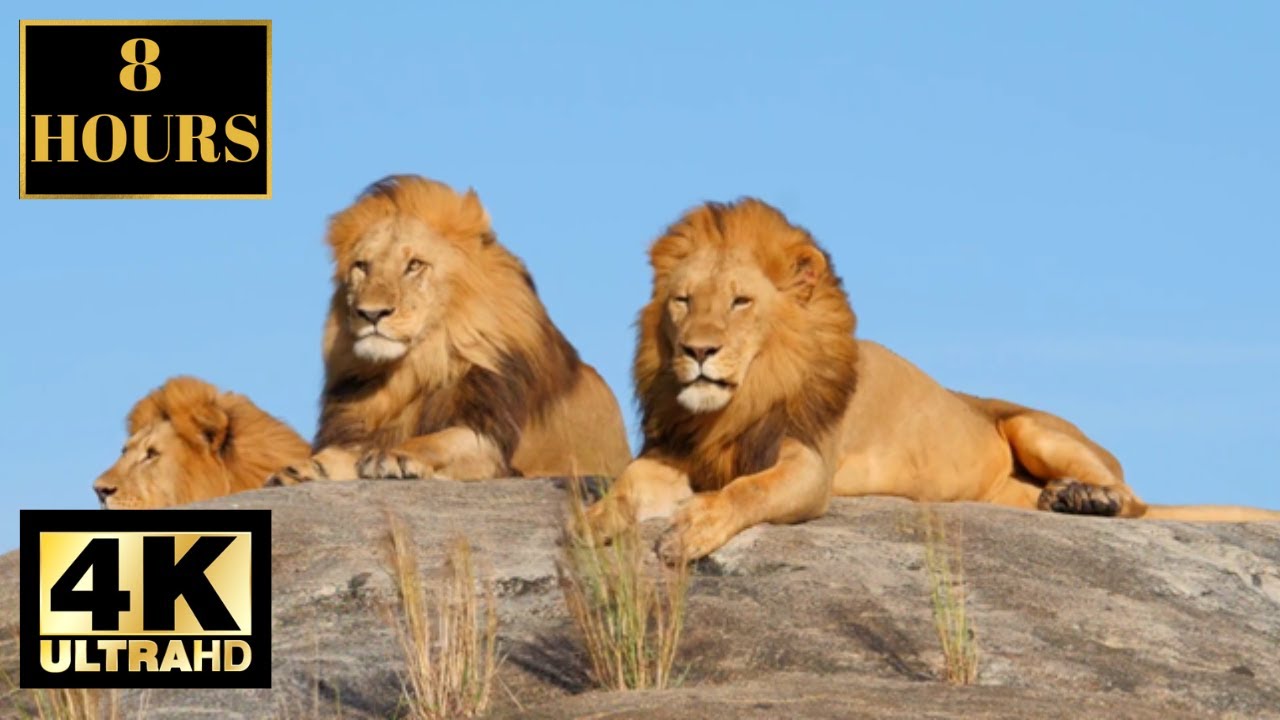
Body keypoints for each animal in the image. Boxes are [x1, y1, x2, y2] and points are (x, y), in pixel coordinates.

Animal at [267, 175, 631, 486]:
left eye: (414, 265)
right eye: (362, 266)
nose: (370, 313)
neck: (414, 369)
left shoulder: (490, 439)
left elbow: (440, 440)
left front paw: (396, 455)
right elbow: (339, 453)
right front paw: (303, 469)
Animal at [586, 198, 1280, 563]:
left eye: (739, 302)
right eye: (682, 302)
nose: (697, 351)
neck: (740, 398)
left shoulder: (808, 464)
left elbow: (747, 491)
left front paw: (690, 530)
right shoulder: (676, 450)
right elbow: (627, 486)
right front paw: (591, 524)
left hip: (1035, 427)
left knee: (1135, 499)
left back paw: (1091, 499)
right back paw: (1063, 500)